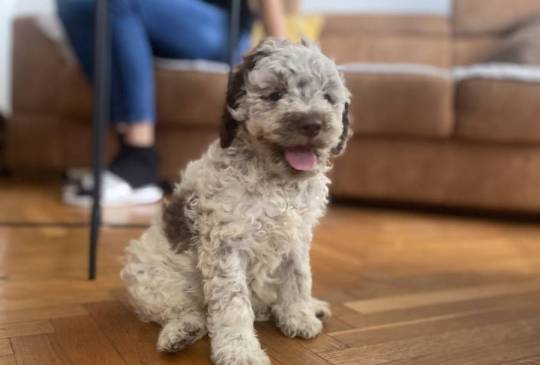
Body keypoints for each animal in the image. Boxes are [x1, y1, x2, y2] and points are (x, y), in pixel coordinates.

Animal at [120, 38, 352, 362]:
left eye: (328, 97)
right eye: (275, 95)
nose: (312, 123)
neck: (276, 181)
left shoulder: (296, 236)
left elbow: (297, 277)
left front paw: (297, 315)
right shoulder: (226, 244)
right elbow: (232, 303)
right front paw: (240, 351)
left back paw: (308, 307)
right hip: (149, 279)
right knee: (181, 310)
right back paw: (180, 332)